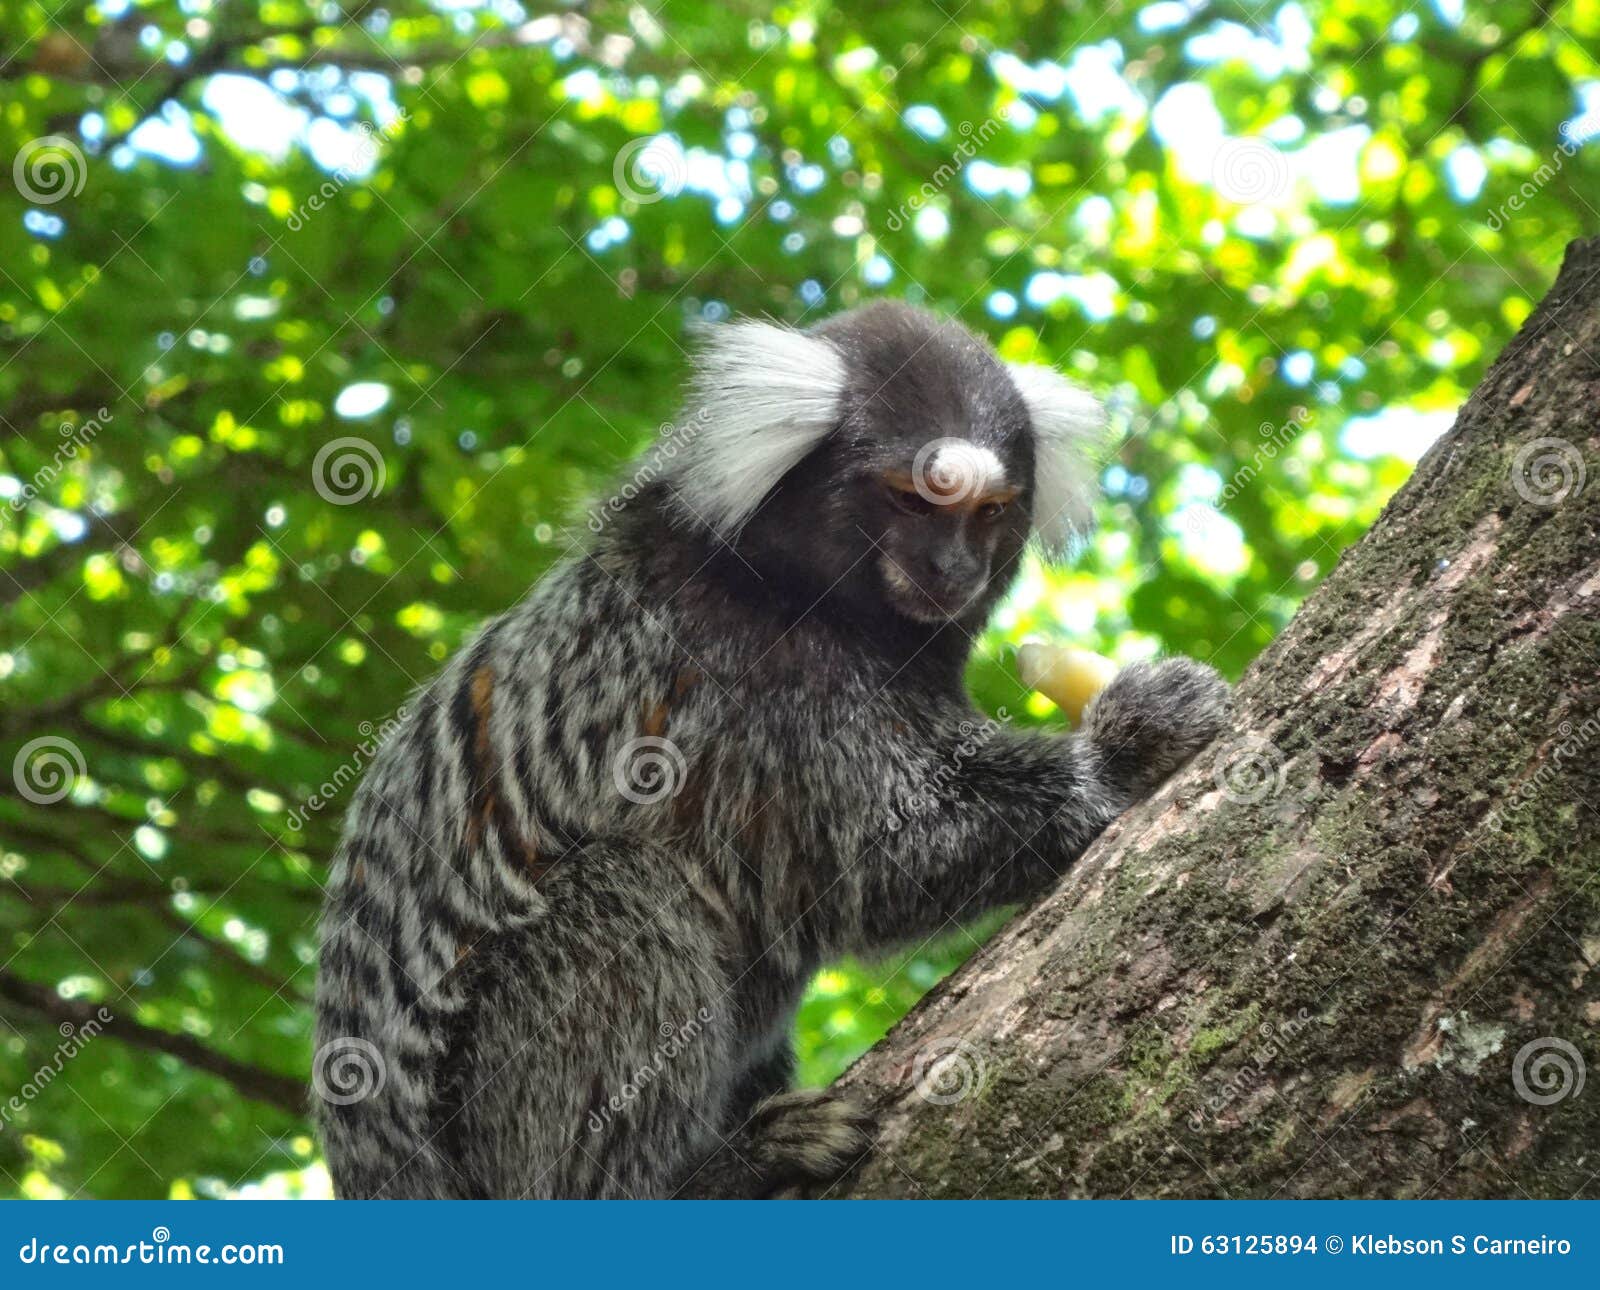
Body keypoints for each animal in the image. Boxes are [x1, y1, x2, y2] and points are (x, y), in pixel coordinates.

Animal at [312, 301, 1231, 1199]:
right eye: (911, 500)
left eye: (988, 510)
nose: (952, 570)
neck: (792, 588)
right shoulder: (747, 676)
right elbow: (878, 853)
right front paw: (1121, 746)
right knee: (620, 891)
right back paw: (711, 1175)